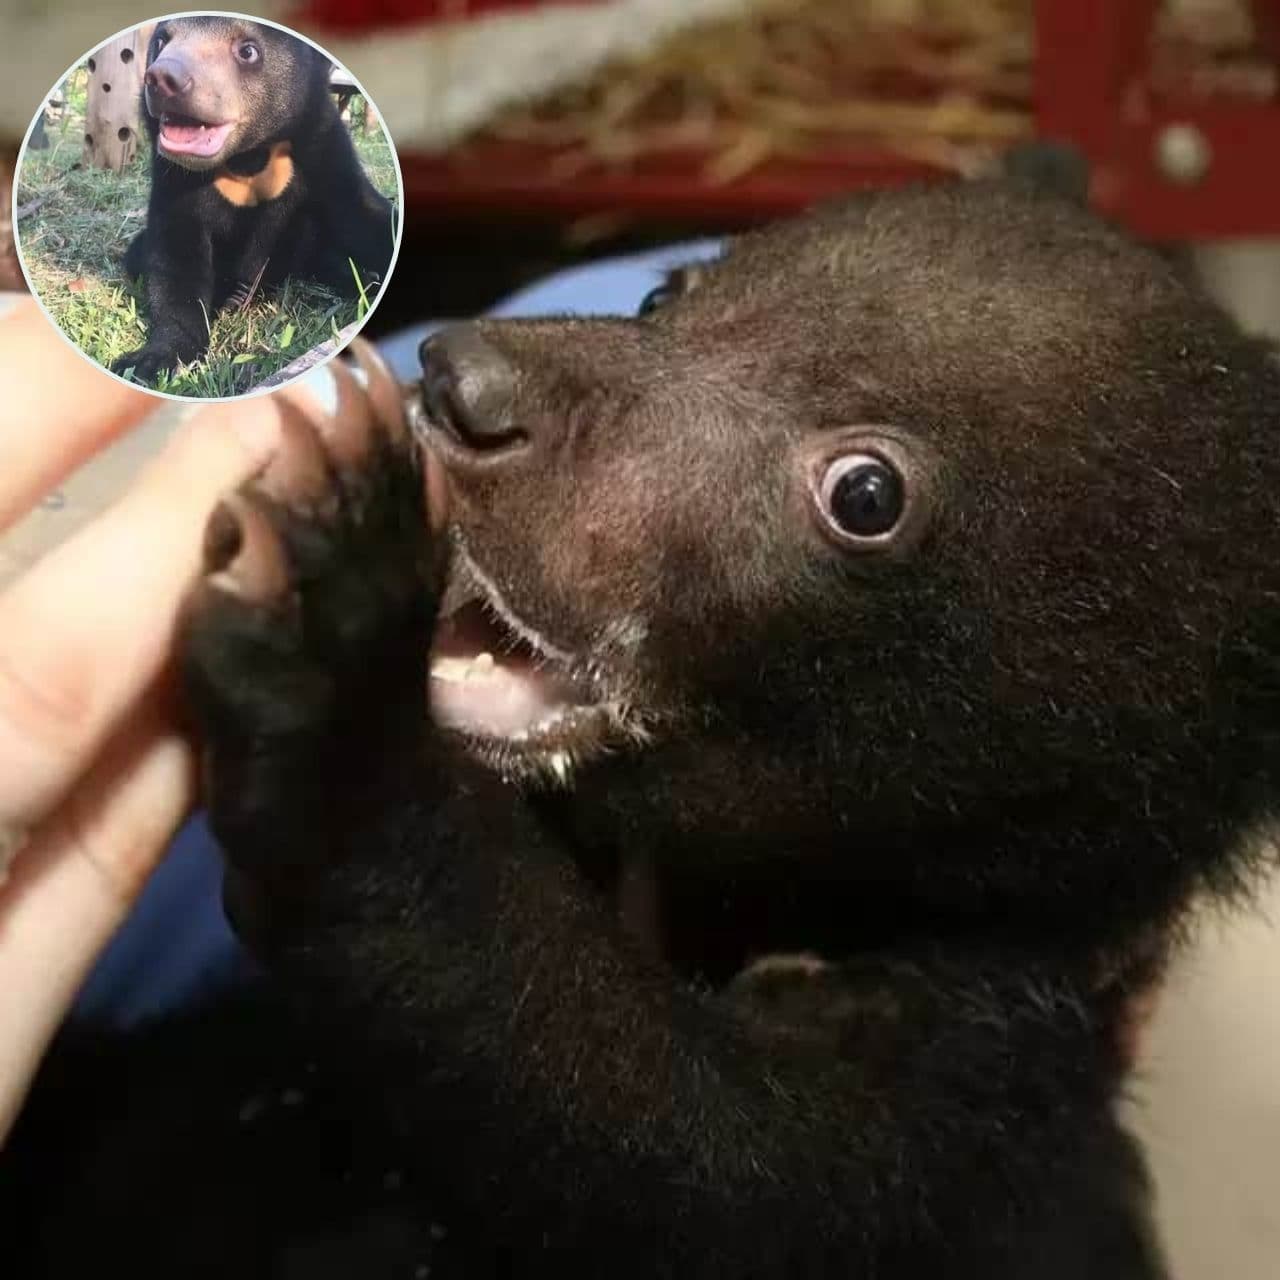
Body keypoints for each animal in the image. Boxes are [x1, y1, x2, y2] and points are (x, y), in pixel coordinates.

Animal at [6, 177, 1280, 1279]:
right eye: (670, 294)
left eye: (864, 494)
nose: (461, 383)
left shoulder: (975, 1092)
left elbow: (691, 1157)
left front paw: (339, 681)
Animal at [109, 14, 396, 386]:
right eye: (161, 41)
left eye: (248, 51)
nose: (163, 78)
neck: (247, 158)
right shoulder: (173, 176)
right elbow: (175, 254)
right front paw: (151, 360)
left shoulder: (323, 148)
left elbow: (363, 213)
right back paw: (232, 296)